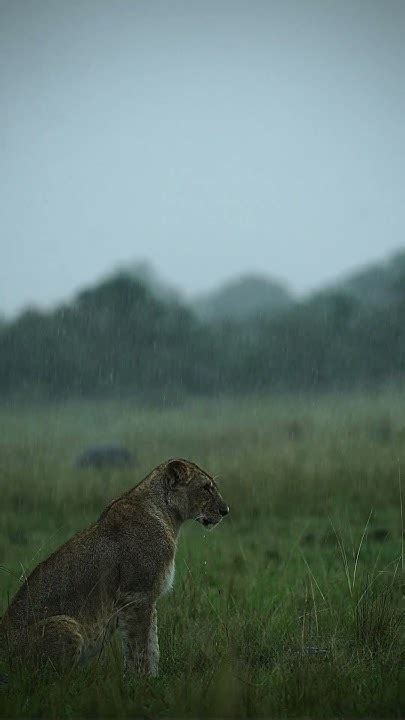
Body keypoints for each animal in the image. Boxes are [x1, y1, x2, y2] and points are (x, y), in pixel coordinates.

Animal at [0, 458, 229, 676]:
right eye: (206, 488)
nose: (225, 511)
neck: (169, 517)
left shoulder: (147, 597)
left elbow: (152, 644)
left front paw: (153, 679)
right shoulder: (136, 594)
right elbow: (139, 645)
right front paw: (140, 681)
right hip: (67, 624)